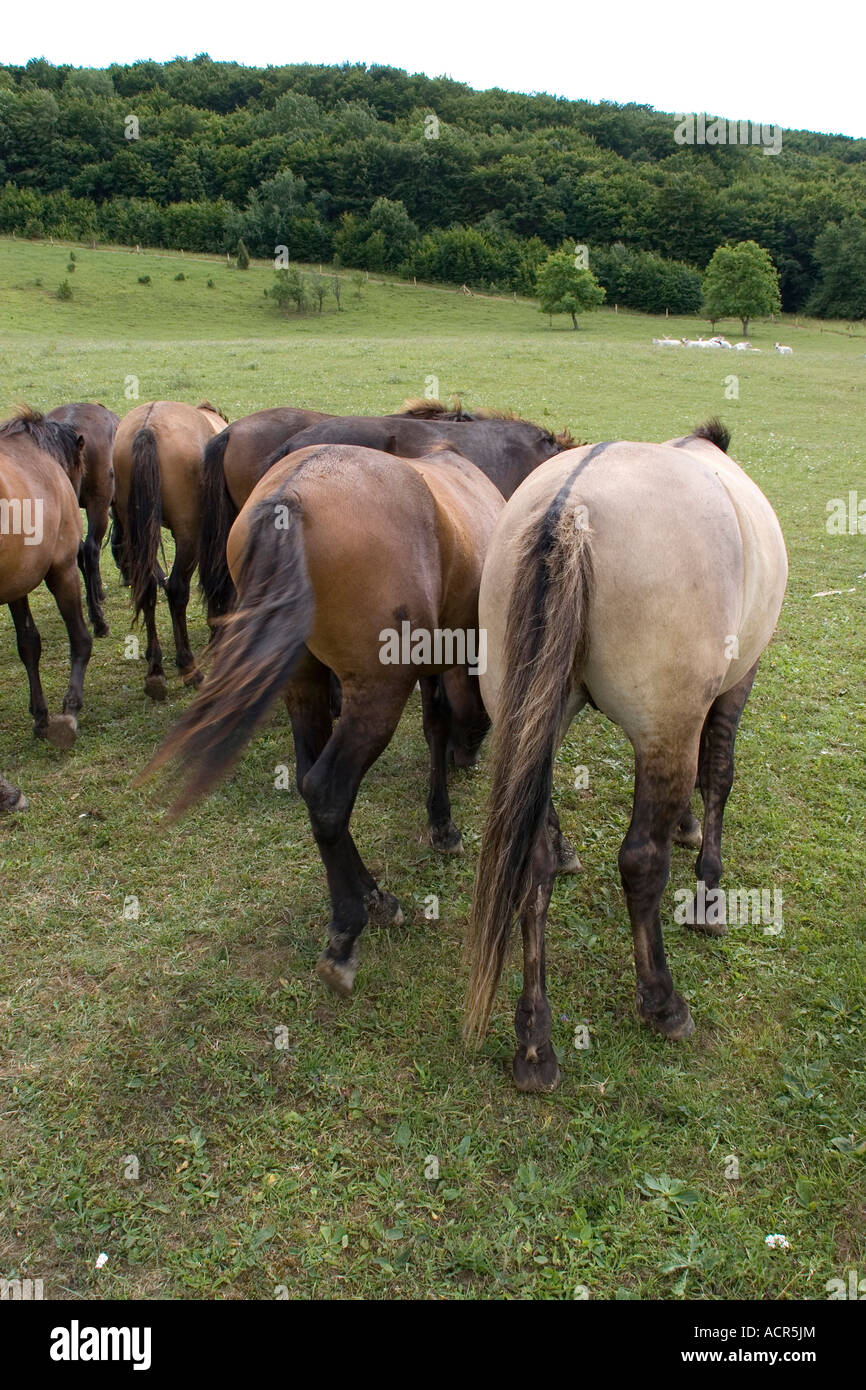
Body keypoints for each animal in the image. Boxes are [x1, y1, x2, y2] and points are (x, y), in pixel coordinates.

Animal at [0, 409, 93, 748]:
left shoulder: (17, 581)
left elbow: (28, 645)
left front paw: (41, 716)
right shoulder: (62, 570)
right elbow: (80, 638)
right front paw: (70, 708)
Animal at [112, 401, 227, 699]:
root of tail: (147, 429)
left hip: (139, 533)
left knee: (148, 587)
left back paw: (155, 671)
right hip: (188, 536)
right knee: (176, 589)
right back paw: (189, 667)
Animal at [142, 441, 510, 995]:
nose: (469, 758)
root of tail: (290, 496)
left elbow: (433, 724)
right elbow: (437, 724)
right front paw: (443, 824)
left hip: (305, 684)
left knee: (309, 785)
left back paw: (372, 898)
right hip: (375, 694)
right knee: (328, 790)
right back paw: (346, 931)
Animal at [464, 420, 788, 1091]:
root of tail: (570, 508)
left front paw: (689, 829)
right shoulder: (735, 682)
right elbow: (719, 774)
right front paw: (708, 891)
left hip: (531, 721)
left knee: (533, 862)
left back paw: (535, 1038)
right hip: (663, 727)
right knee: (641, 860)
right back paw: (661, 1000)